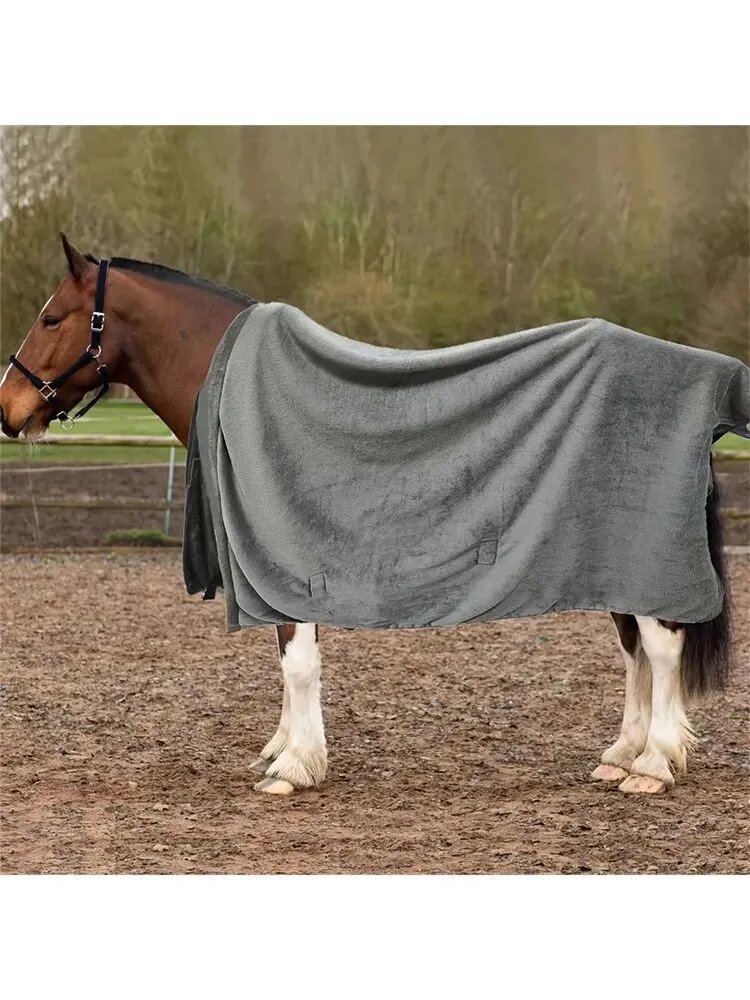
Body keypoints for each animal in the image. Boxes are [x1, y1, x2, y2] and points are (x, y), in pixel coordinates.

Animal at [0, 234, 732, 796]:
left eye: (52, 317)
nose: (8, 408)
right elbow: (291, 660)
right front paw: (286, 750)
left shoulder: (285, 555)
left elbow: (297, 661)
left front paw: (293, 767)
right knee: (636, 649)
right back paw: (621, 757)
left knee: (661, 647)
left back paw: (654, 765)